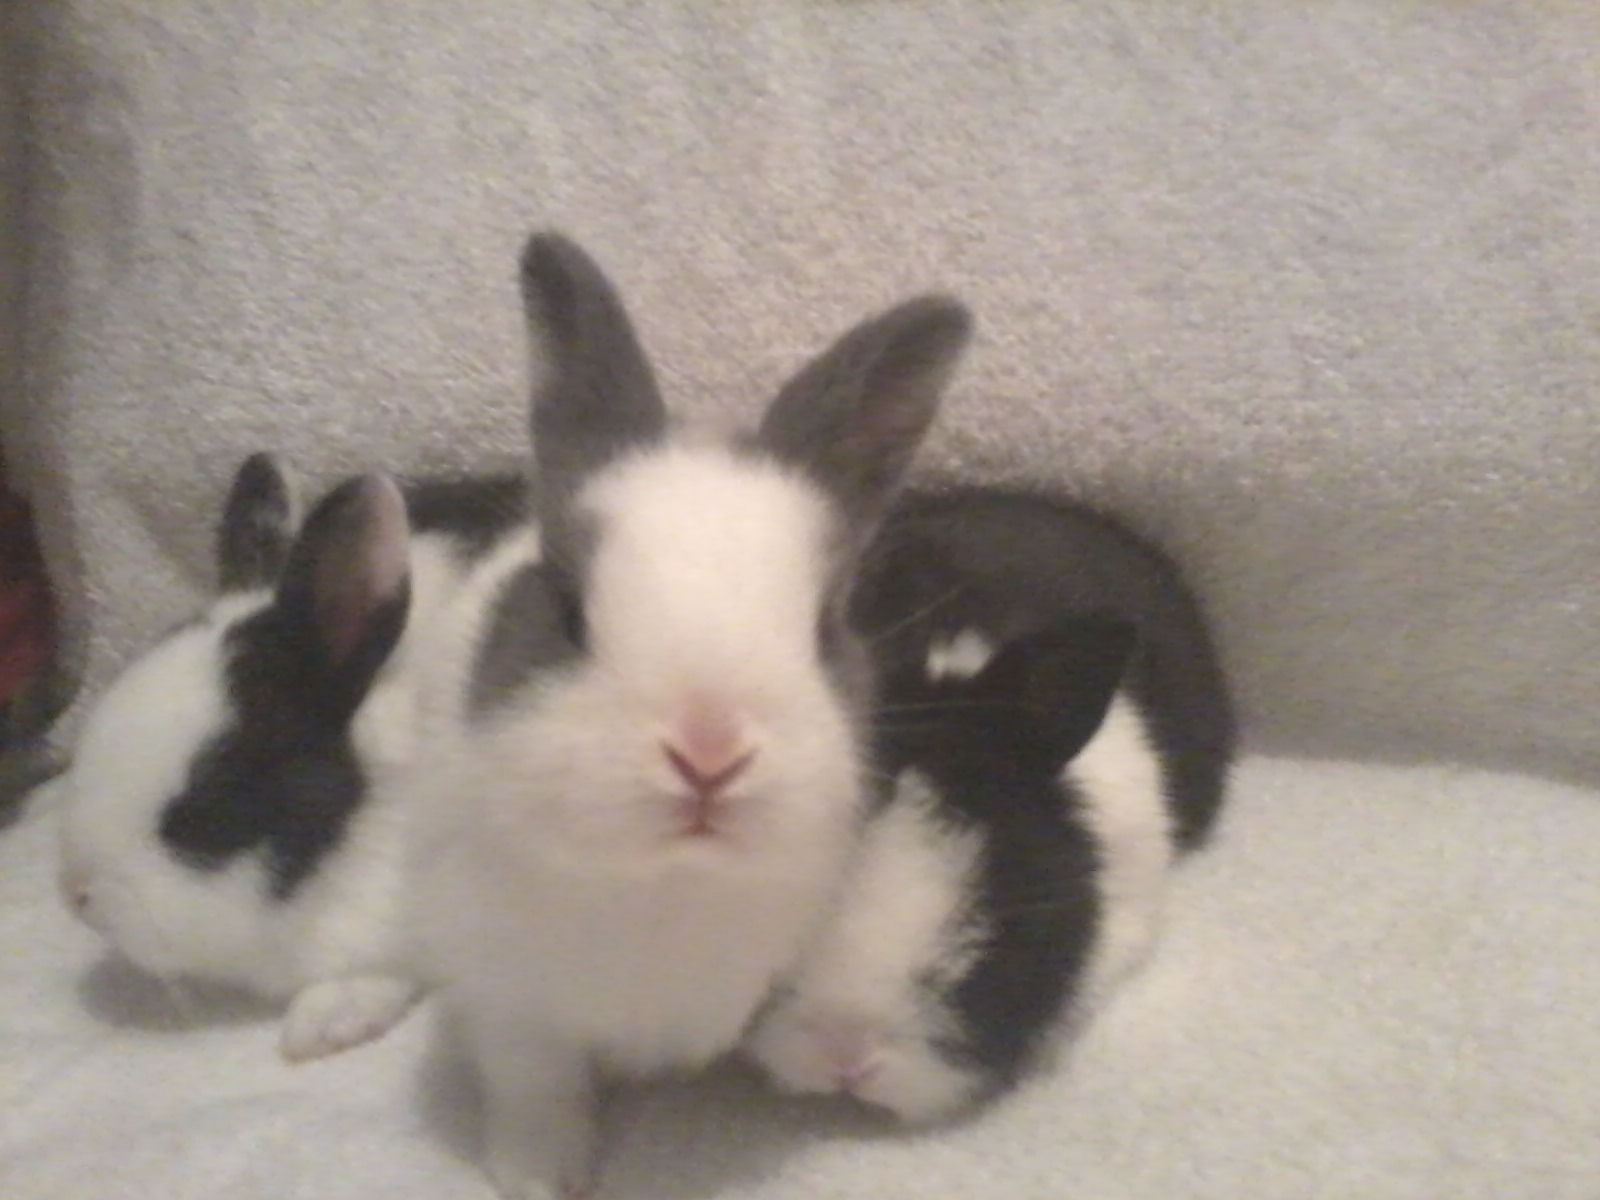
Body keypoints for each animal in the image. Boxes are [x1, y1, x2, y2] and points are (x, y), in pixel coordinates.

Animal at [403, 232, 972, 1200]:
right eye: (569, 612)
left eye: (824, 625)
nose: (709, 753)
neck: (665, 885)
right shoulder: (509, 998)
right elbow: (534, 1087)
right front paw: (538, 1176)